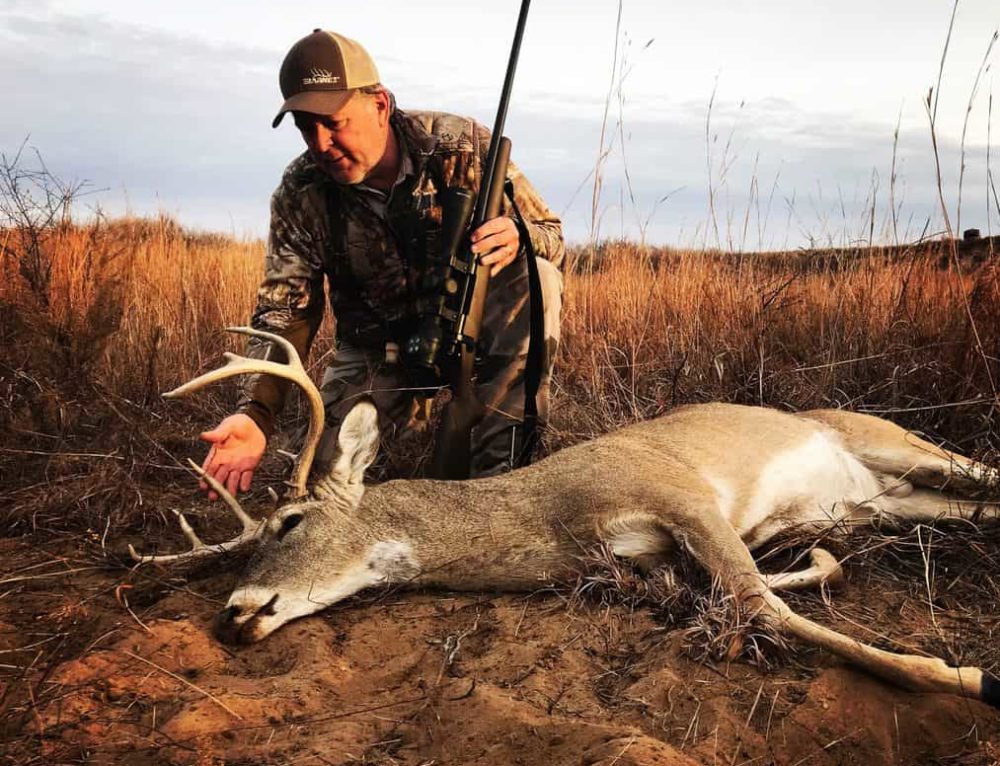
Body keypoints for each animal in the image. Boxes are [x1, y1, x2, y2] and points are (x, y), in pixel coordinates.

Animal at [131, 327, 1000, 708]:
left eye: (290, 521)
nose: (232, 615)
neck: (550, 516)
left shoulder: (682, 493)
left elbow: (760, 606)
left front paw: (960, 675)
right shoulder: (648, 561)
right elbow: (731, 591)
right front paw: (813, 562)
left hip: (904, 448)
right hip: (894, 500)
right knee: (965, 510)